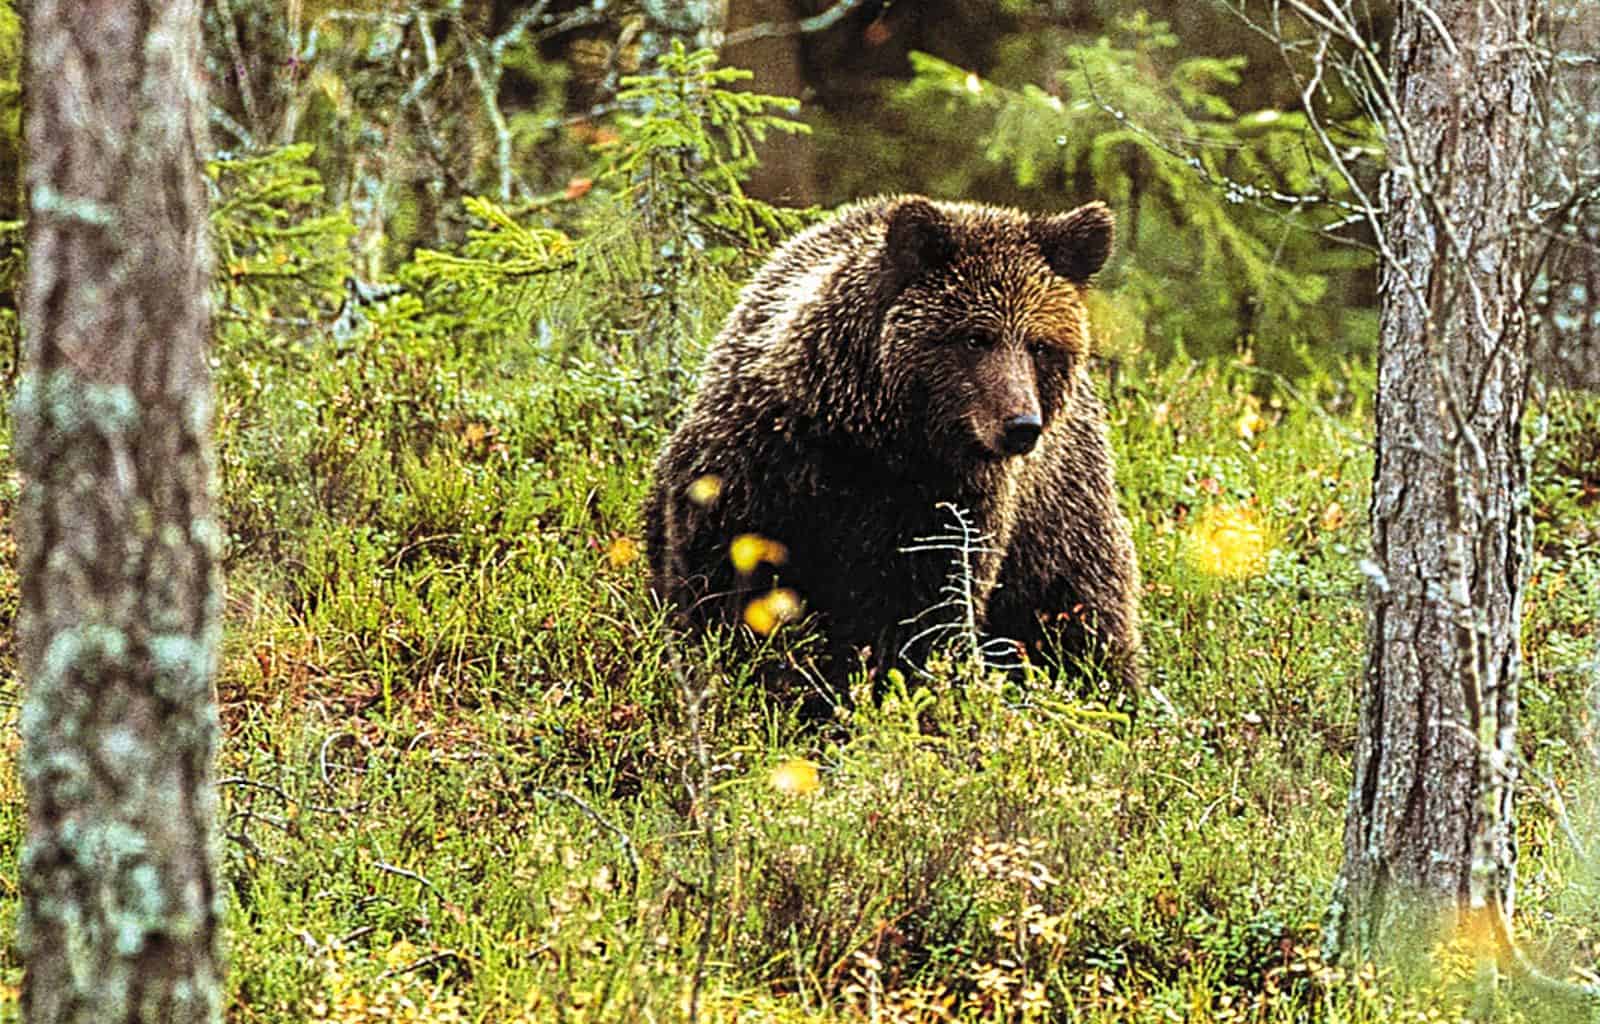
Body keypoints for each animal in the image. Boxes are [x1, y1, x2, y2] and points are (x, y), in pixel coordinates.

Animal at [644, 195, 1141, 700]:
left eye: (1040, 345)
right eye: (976, 337)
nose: (1022, 426)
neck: (875, 436)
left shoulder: (943, 510)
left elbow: (919, 615)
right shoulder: (762, 463)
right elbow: (716, 573)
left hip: (1060, 519)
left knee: (1084, 615)